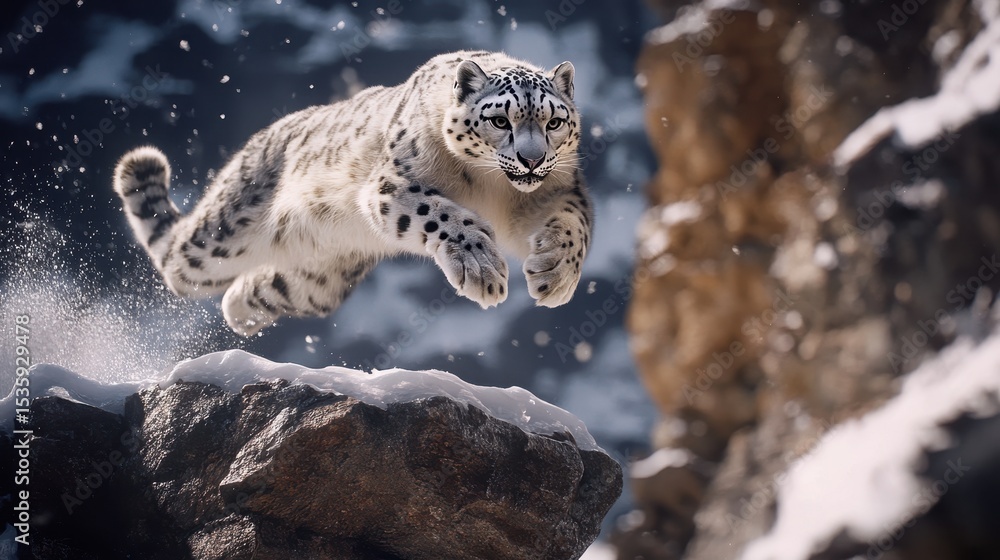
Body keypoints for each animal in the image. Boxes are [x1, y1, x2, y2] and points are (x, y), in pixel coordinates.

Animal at [113, 50, 593, 337]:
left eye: (554, 122)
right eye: (499, 120)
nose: (531, 160)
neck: (490, 186)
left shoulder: (557, 191)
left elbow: (577, 227)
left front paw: (554, 274)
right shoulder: (393, 185)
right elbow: (445, 215)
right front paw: (482, 269)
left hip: (317, 283)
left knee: (263, 284)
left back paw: (240, 314)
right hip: (216, 243)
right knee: (177, 259)